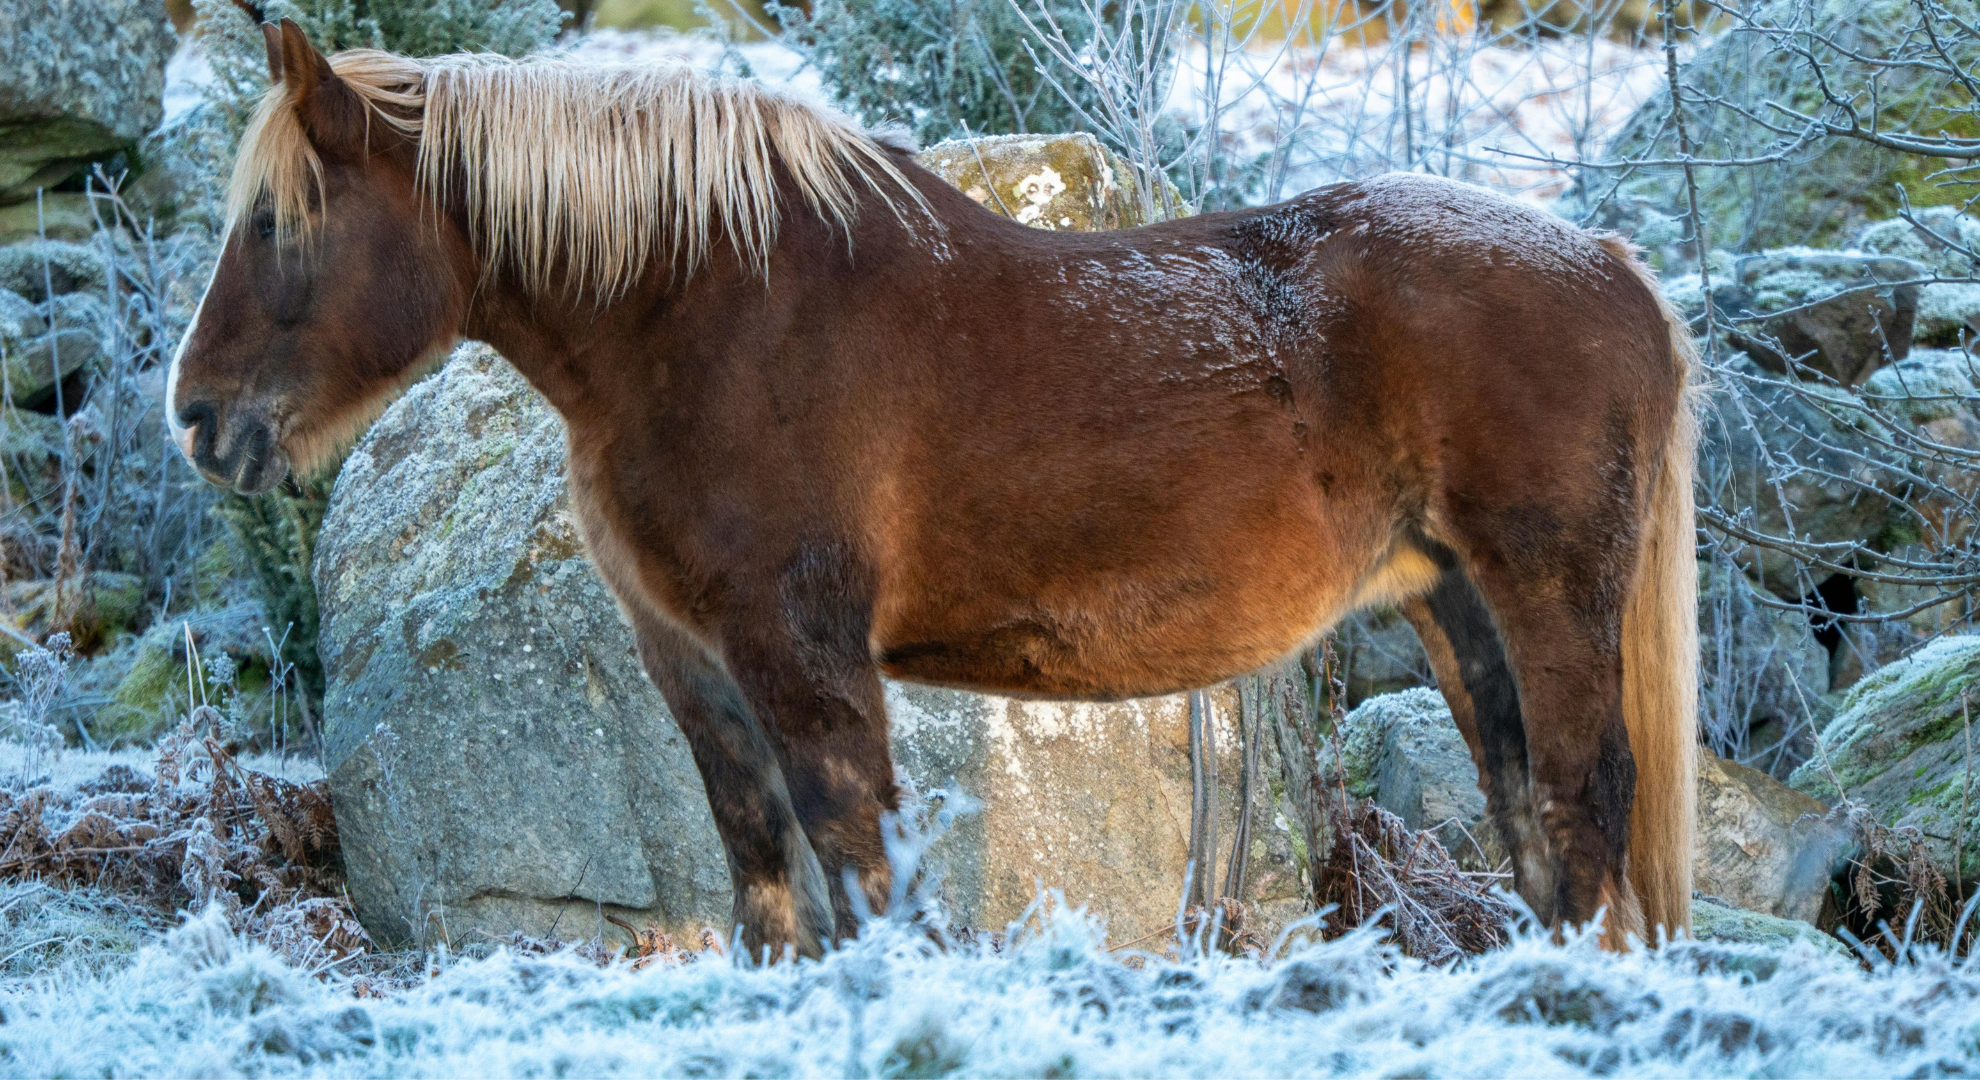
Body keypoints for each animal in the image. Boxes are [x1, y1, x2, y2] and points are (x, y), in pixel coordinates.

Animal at [169, 19, 1698, 958]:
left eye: (281, 222)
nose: (198, 421)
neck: (710, 319)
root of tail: (1611, 267)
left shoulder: (803, 654)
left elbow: (857, 867)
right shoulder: (689, 660)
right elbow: (767, 886)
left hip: (1545, 596)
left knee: (1586, 799)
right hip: (1461, 609)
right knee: (1535, 817)